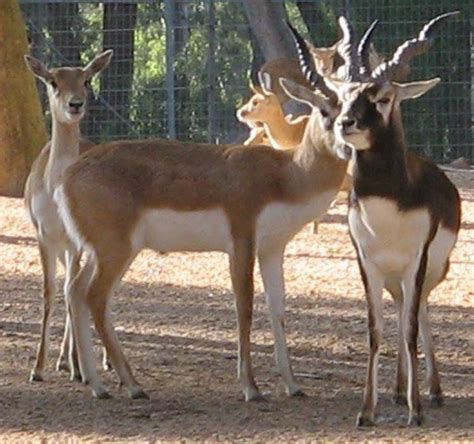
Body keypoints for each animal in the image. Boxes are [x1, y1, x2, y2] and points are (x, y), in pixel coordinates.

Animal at [24, 49, 113, 382]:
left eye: (86, 79)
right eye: (52, 80)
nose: (75, 104)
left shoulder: (75, 241)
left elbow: (68, 289)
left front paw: (78, 367)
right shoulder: (43, 236)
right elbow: (50, 292)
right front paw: (37, 369)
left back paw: (98, 362)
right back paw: (63, 360)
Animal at [55, 24, 350, 400]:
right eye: (324, 111)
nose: (349, 144)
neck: (285, 173)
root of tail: (68, 175)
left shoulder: (273, 248)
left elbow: (278, 309)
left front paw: (293, 384)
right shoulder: (241, 242)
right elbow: (245, 306)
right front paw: (251, 387)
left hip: (102, 251)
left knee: (77, 291)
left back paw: (97, 384)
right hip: (115, 250)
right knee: (94, 297)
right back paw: (132, 386)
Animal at [332, 13, 462, 426]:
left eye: (383, 98)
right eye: (346, 94)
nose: (345, 123)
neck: (387, 209)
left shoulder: (415, 262)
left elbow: (410, 329)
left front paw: (416, 410)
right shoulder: (368, 263)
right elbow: (376, 331)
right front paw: (366, 411)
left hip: (431, 271)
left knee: (419, 312)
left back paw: (433, 392)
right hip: (393, 278)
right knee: (404, 308)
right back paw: (397, 390)